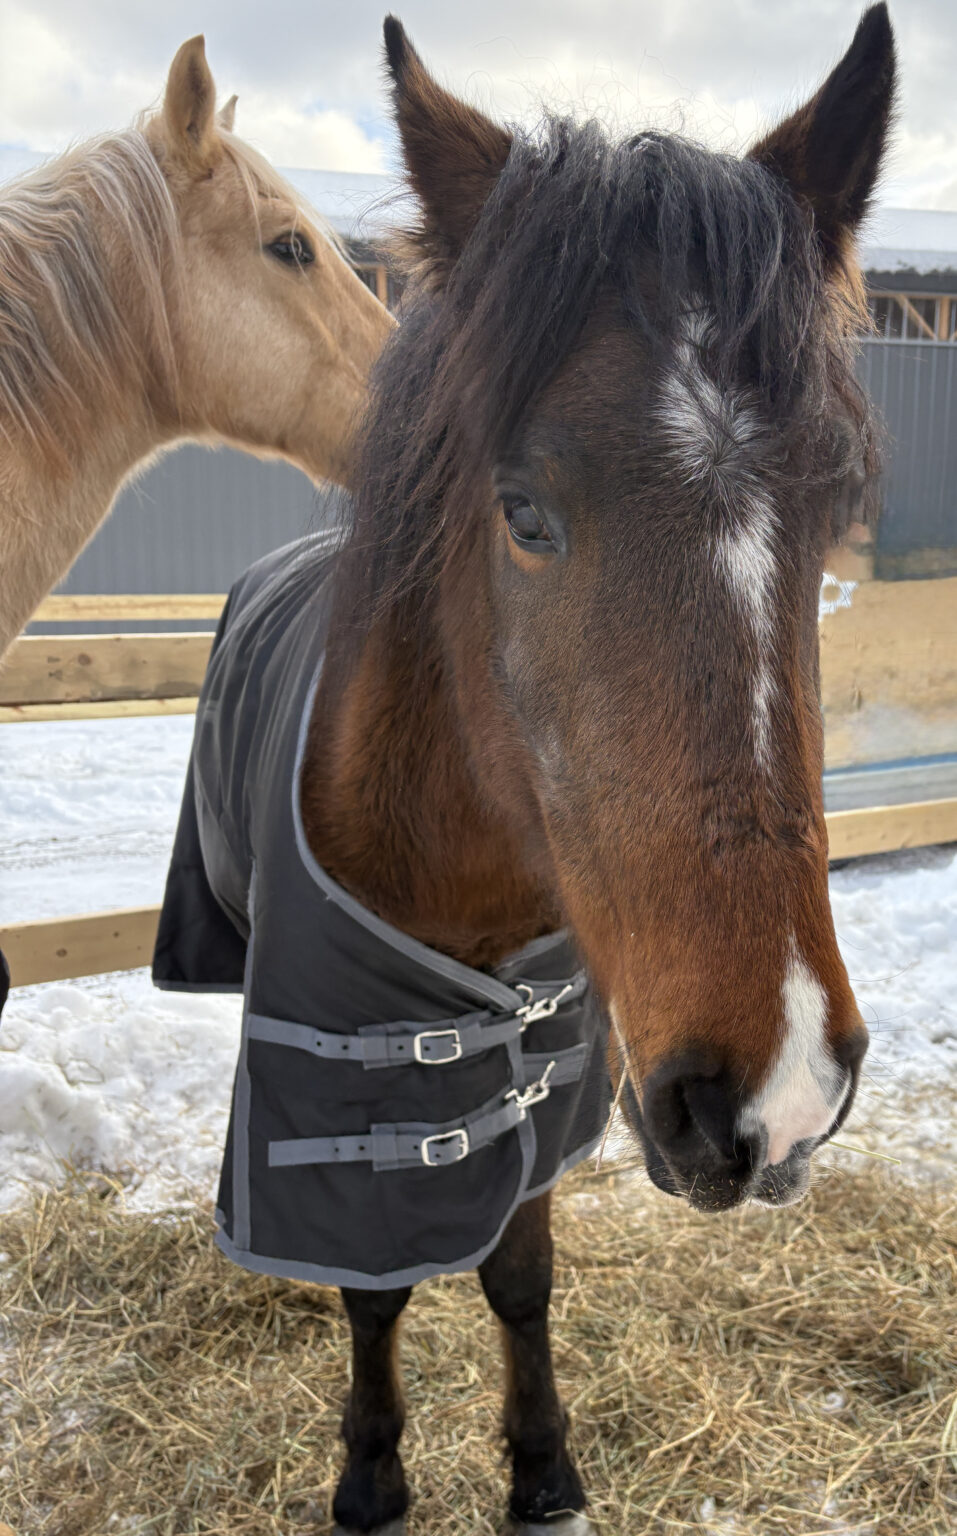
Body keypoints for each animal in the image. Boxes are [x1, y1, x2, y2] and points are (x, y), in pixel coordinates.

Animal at [161, 9, 896, 1533]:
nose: (779, 1088)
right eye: (524, 513)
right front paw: (373, 1472)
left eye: (830, 512)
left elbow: (518, 1267)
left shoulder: (548, 1067)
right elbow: (374, 1291)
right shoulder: (350, 1101)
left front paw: (544, 1466)